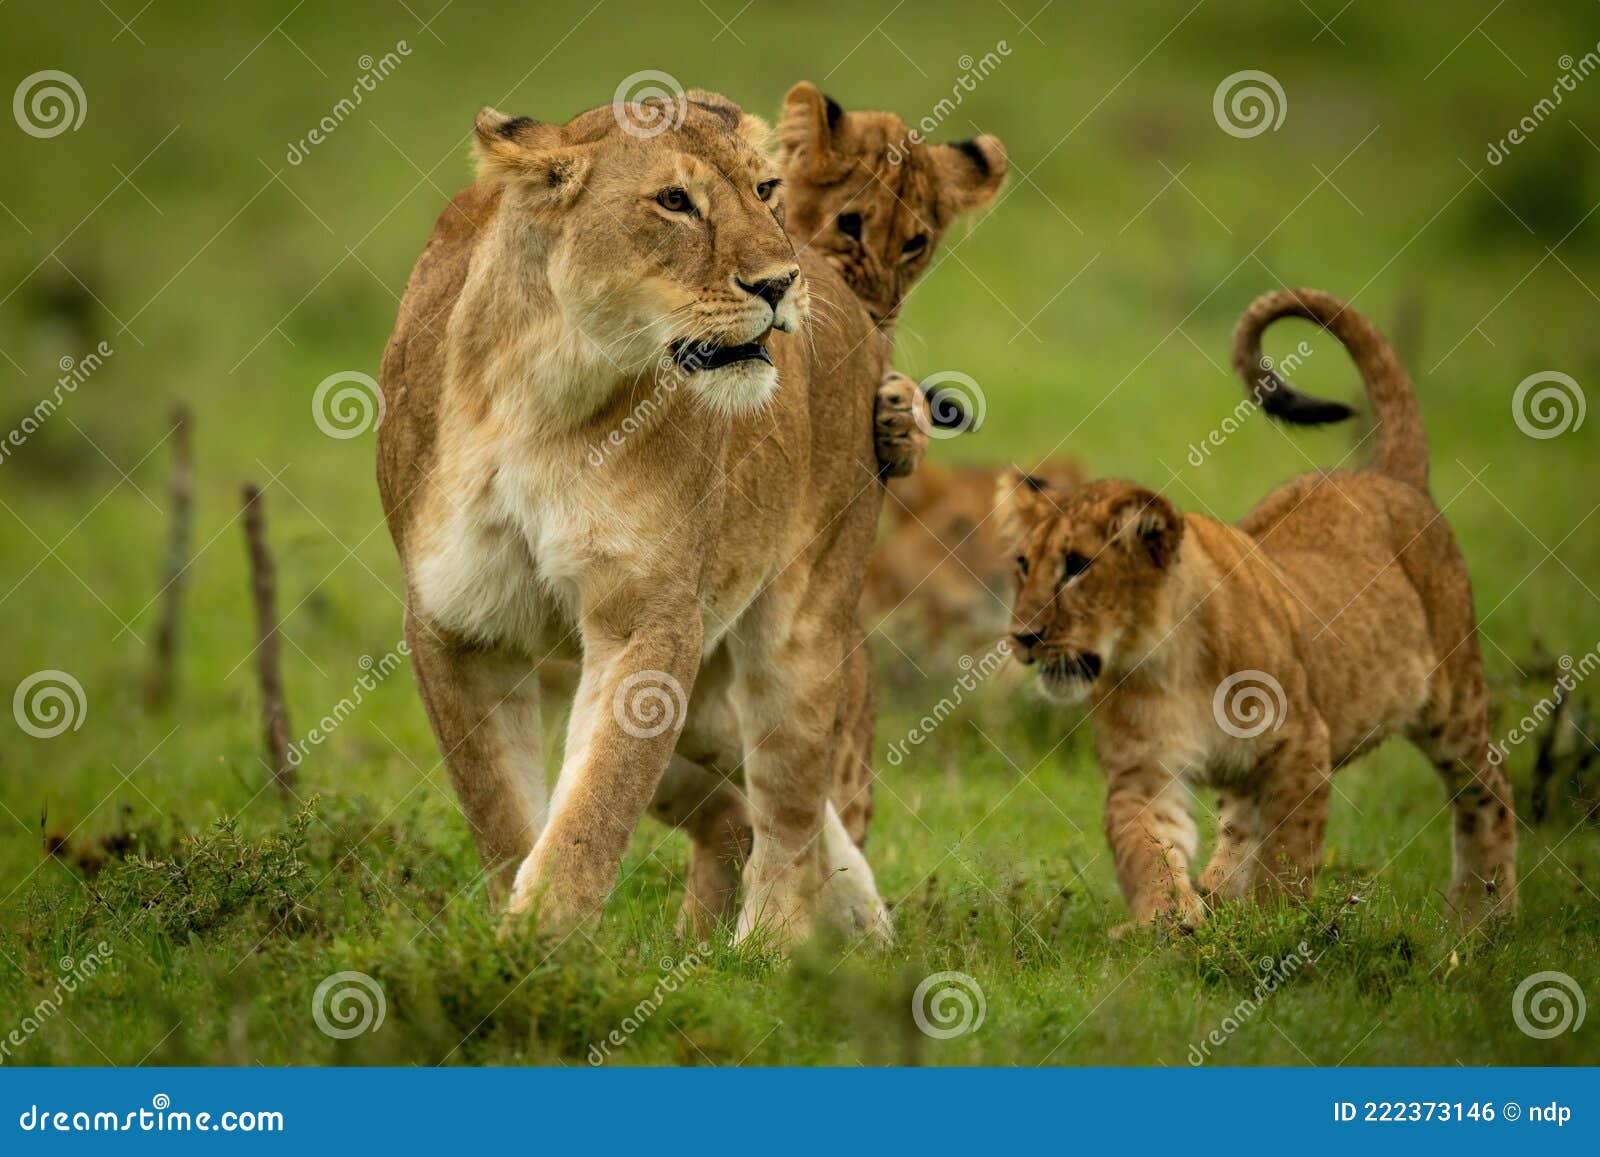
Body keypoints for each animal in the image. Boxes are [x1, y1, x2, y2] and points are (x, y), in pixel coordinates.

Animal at [379, 92, 909, 945]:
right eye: (674, 202)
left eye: (765, 189)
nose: (778, 282)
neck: (545, 393)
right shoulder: (455, 623)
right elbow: (499, 807)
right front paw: (513, 937)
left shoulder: (649, 616)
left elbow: (596, 799)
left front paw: (539, 943)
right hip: (706, 684)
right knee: (738, 806)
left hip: (798, 623)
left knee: (789, 811)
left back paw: (774, 946)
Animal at [998, 288, 1517, 933]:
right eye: (1024, 564)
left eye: (1077, 566)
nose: (1022, 636)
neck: (1160, 660)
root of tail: (1390, 476)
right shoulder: (1143, 773)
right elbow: (1145, 847)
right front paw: (1166, 923)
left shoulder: (1301, 745)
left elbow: (1288, 857)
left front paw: (1273, 928)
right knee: (1240, 828)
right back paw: (1219, 895)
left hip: (1453, 702)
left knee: (1488, 788)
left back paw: (1481, 915)